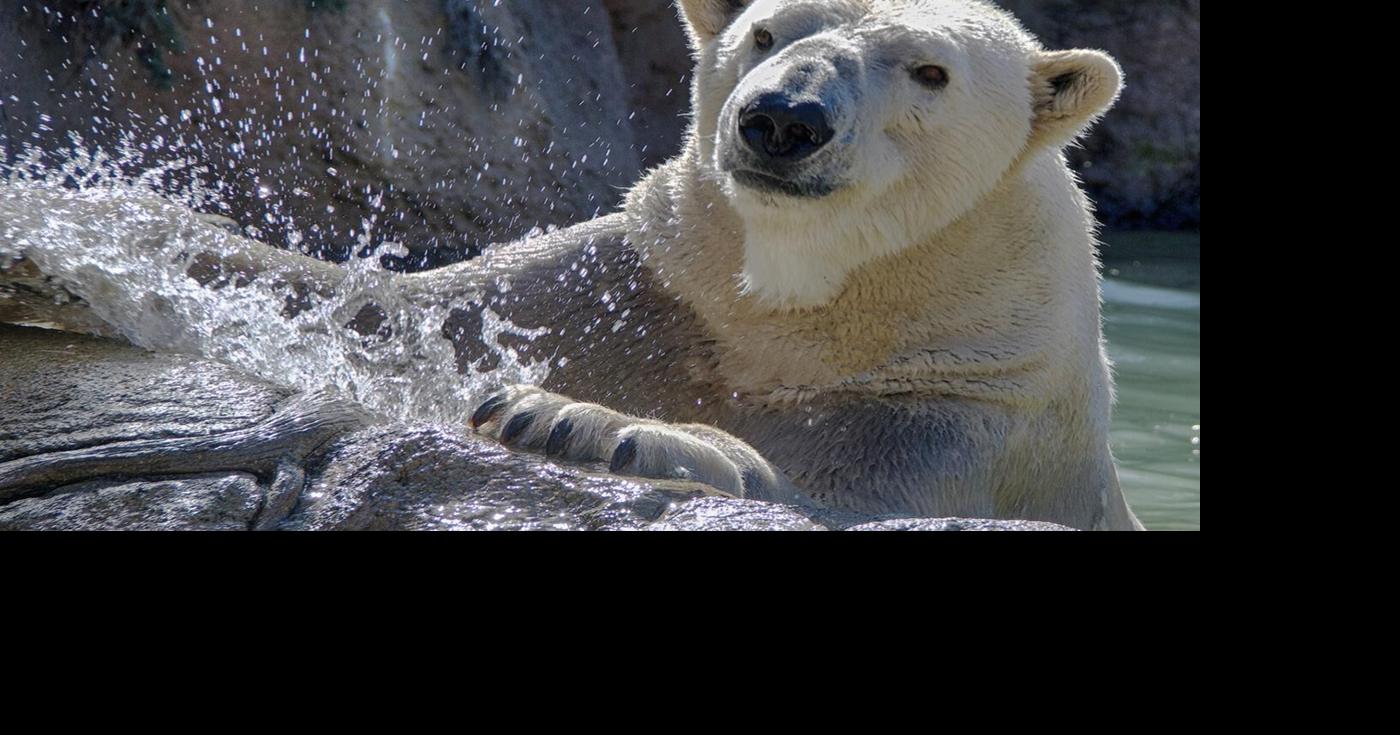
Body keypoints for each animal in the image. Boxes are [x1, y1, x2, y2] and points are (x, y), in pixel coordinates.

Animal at [0, 0, 1143, 529]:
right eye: (768, 28)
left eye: (929, 70)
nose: (783, 118)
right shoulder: (643, 285)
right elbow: (386, 309)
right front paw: (56, 239)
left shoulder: (963, 419)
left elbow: (815, 487)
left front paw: (571, 419)